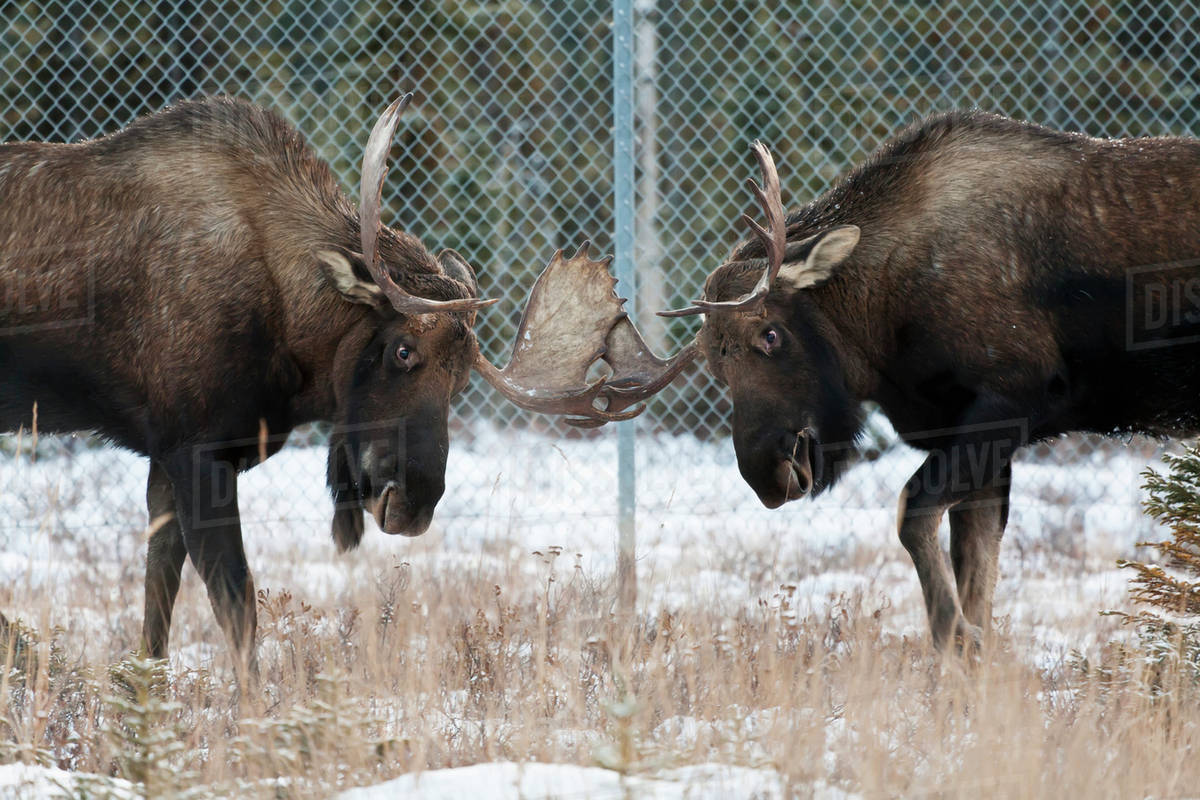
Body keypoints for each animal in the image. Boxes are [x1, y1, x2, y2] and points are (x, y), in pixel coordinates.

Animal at [0, 93, 663, 673]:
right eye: (402, 350)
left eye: (460, 384)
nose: (415, 499)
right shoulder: (195, 449)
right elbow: (236, 608)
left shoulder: (165, 456)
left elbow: (155, 608)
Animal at [608, 111, 1200, 655]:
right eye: (715, 366)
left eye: (771, 334)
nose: (766, 473)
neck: (887, 320)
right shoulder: (974, 435)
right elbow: (975, 571)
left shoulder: (1013, 400)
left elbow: (913, 515)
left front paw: (955, 635)